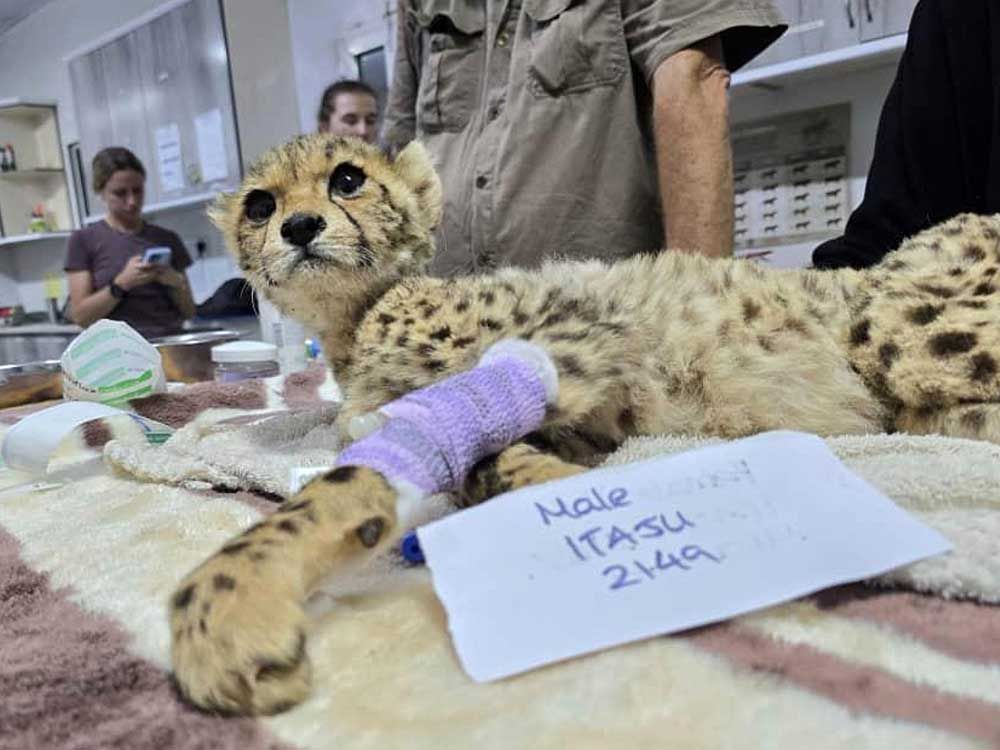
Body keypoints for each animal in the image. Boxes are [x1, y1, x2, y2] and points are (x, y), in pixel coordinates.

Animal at [169, 133, 1000, 716]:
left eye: (347, 178)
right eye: (260, 205)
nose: (302, 226)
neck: (358, 317)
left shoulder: (580, 336)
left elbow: (358, 473)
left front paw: (224, 605)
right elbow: (477, 460)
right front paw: (550, 489)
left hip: (897, 324)